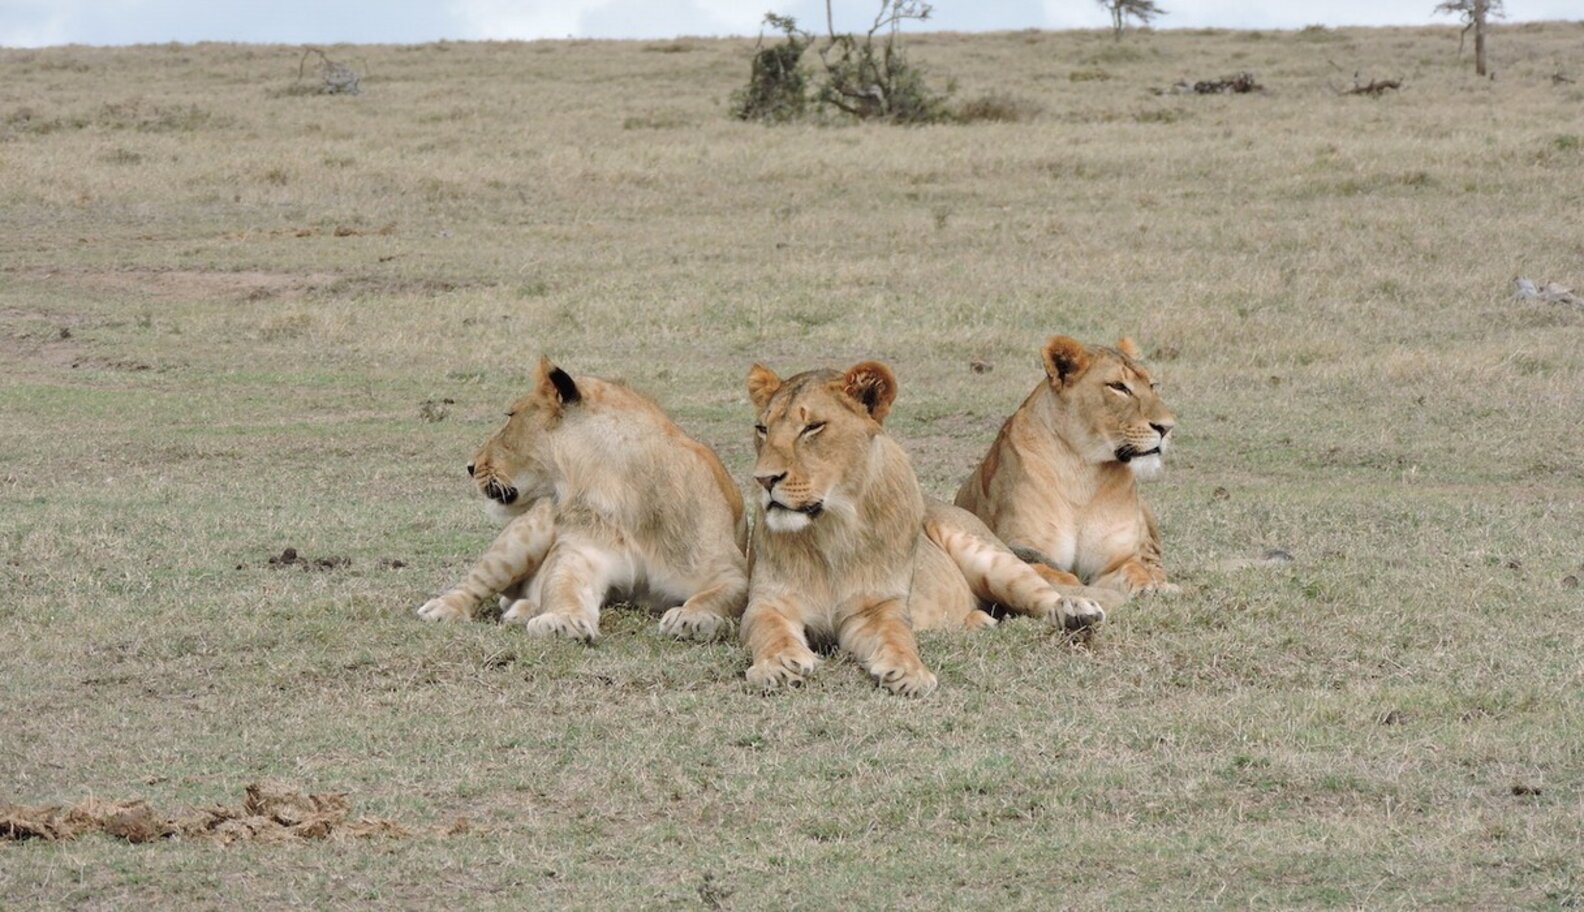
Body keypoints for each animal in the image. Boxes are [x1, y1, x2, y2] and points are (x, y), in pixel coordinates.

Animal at [416, 357, 749, 642]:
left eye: (510, 416)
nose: (471, 466)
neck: (617, 492)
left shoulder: (727, 569)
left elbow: (719, 595)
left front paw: (692, 619)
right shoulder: (580, 553)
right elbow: (564, 586)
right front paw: (562, 621)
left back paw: (521, 612)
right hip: (521, 539)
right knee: (478, 583)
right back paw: (443, 608)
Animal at [741, 361, 1105, 697]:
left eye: (813, 427)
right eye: (762, 428)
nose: (763, 479)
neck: (829, 528)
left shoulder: (880, 607)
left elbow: (897, 636)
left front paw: (909, 671)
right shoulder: (768, 601)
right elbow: (770, 630)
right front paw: (777, 665)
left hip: (989, 556)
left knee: (1041, 592)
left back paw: (1076, 611)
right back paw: (977, 623)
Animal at [955, 335, 1176, 596]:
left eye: (1152, 386)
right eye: (1118, 387)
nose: (1167, 427)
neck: (1083, 469)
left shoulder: (1115, 562)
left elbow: (1135, 569)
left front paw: (1148, 586)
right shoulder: (1023, 546)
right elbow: (1052, 573)